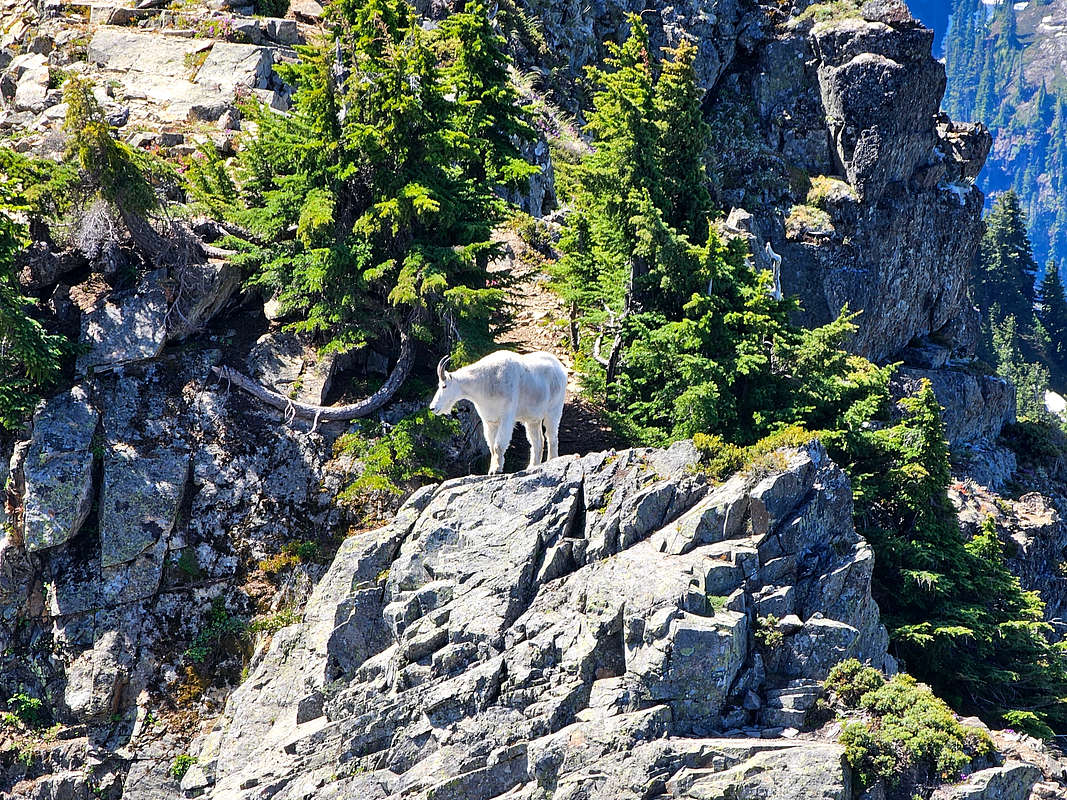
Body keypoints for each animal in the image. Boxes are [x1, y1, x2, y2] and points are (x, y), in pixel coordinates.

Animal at [429, 350, 567, 475]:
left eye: (444, 386)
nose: (432, 408)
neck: (485, 382)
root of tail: (561, 369)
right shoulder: (489, 421)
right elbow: (491, 446)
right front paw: (491, 469)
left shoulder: (506, 418)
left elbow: (498, 445)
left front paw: (496, 469)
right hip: (532, 419)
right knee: (537, 441)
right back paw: (532, 466)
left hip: (554, 410)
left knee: (552, 437)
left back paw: (552, 461)